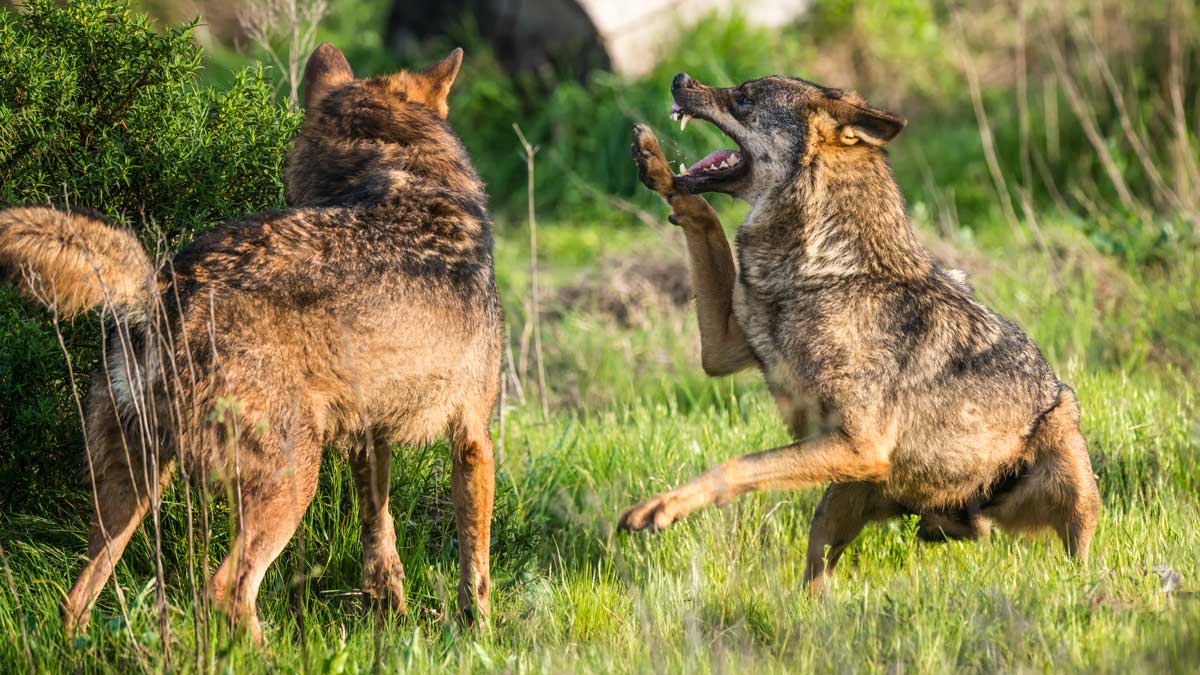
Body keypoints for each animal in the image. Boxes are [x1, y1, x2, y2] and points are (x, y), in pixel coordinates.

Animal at [0, 43, 502, 640]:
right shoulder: (473, 437)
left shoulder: (367, 436)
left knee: (75, 600)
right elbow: (476, 565)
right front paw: (482, 637)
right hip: (292, 485)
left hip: (132, 494)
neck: (396, 167)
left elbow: (380, 536)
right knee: (226, 592)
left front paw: (391, 615)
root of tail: (163, 291)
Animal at [620, 71, 1100, 589]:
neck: (829, 266)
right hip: (836, 506)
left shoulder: (861, 444)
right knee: (817, 582)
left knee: (1078, 556)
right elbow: (703, 216)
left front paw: (661, 508)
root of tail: (959, 515)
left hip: (1068, 460)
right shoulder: (724, 351)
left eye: (745, 97)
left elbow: (734, 466)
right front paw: (656, 165)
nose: (679, 79)